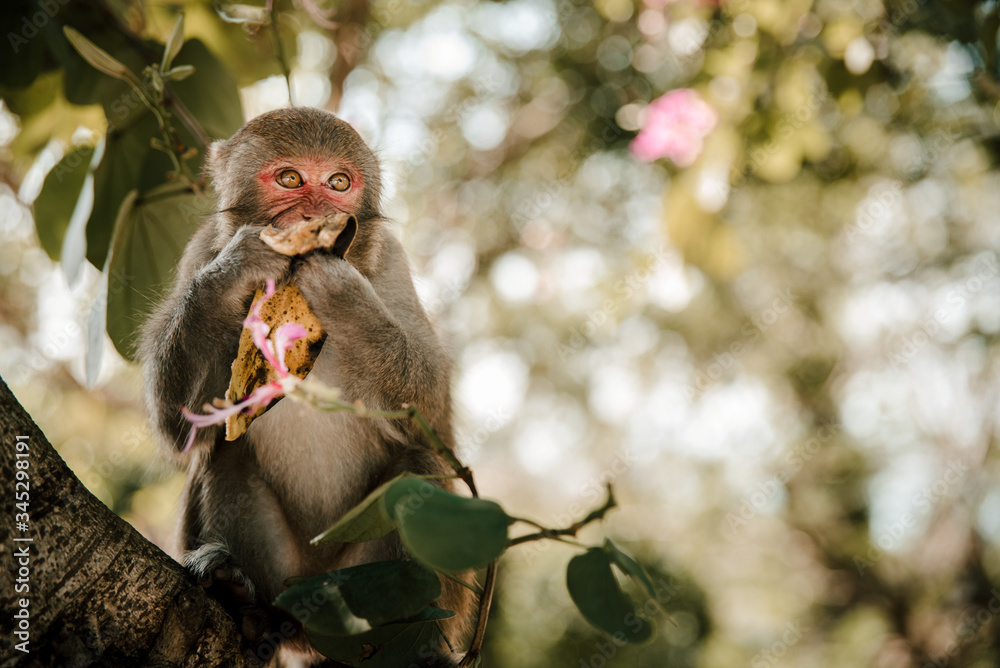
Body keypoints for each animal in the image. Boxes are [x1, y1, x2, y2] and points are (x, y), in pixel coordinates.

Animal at [138, 107, 474, 665]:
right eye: (291, 179)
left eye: (338, 183)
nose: (315, 214)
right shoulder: (200, 249)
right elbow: (182, 424)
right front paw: (239, 267)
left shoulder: (391, 261)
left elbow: (430, 409)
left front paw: (341, 293)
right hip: (290, 578)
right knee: (226, 456)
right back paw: (246, 605)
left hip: (360, 579)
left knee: (419, 470)